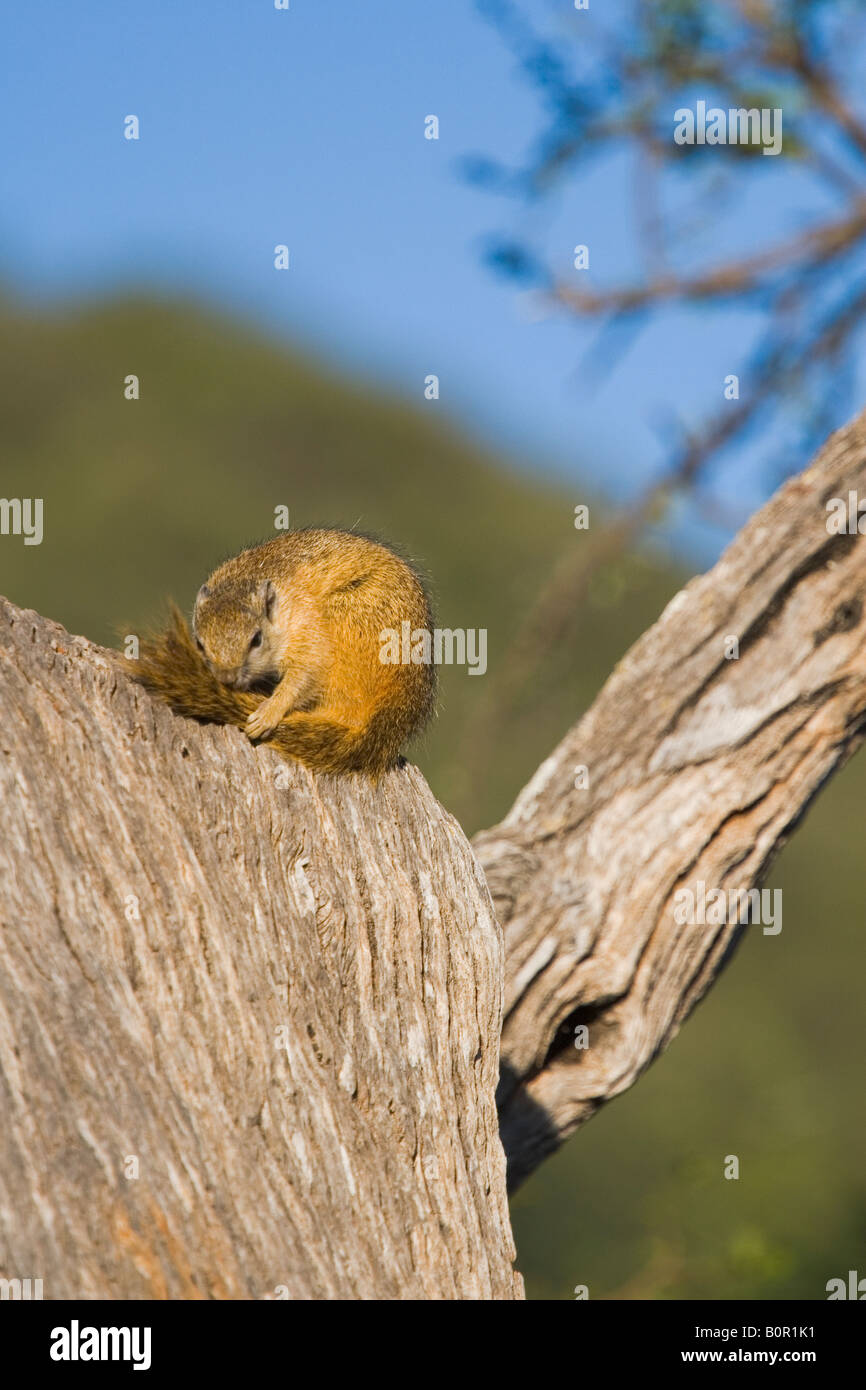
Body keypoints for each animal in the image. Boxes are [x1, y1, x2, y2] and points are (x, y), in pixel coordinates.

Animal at [131, 529, 436, 775]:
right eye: (199, 644)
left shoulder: (308, 632)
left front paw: (268, 713)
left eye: (256, 639)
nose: (227, 678)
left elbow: (305, 675)